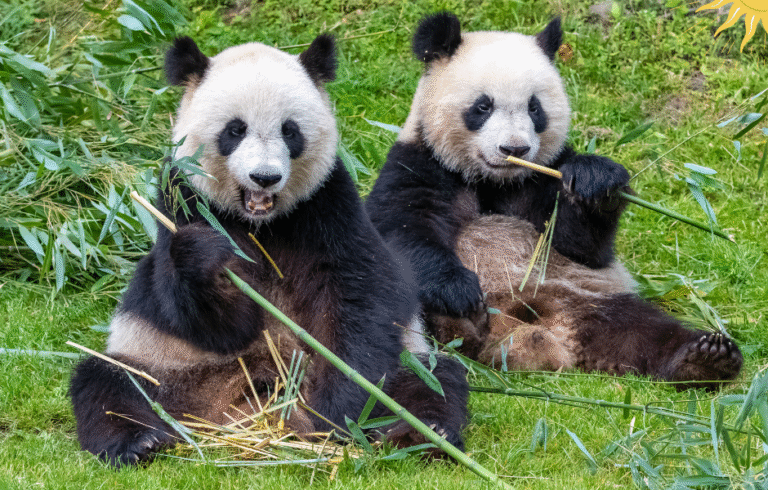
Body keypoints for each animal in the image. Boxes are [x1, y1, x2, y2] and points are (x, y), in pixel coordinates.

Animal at [69, 34, 468, 467]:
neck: (262, 223)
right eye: (235, 130)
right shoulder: (183, 200)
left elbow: (359, 297)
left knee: (433, 380)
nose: (265, 177)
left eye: (290, 131)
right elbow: (209, 319)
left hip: (408, 360)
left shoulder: (328, 206)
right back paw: (138, 442)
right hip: (167, 368)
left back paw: (421, 433)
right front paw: (204, 256)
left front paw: (338, 411)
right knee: (110, 384)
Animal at [365, 12, 742, 390]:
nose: (515, 149)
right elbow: (405, 233)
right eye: (483, 106)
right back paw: (464, 323)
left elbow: (581, 246)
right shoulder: (417, 166)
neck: (494, 181)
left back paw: (704, 358)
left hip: (586, 298)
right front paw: (457, 291)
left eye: (535, 108)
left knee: (643, 330)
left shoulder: (545, 178)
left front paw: (596, 181)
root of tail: (541, 337)